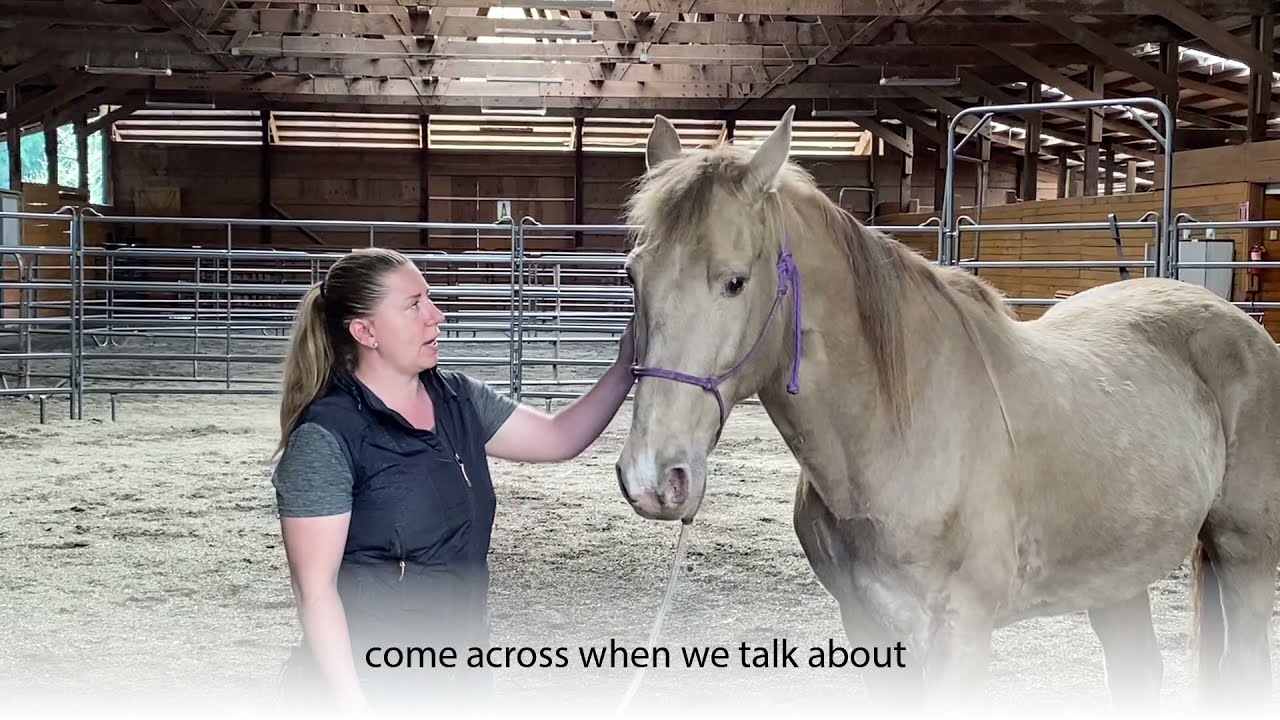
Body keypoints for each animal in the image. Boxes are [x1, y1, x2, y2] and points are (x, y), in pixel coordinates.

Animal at [613, 105, 1280, 714]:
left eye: (735, 282)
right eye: (632, 274)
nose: (654, 478)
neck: (897, 432)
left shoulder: (961, 633)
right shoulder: (869, 628)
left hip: (1244, 561)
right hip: (1117, 576)